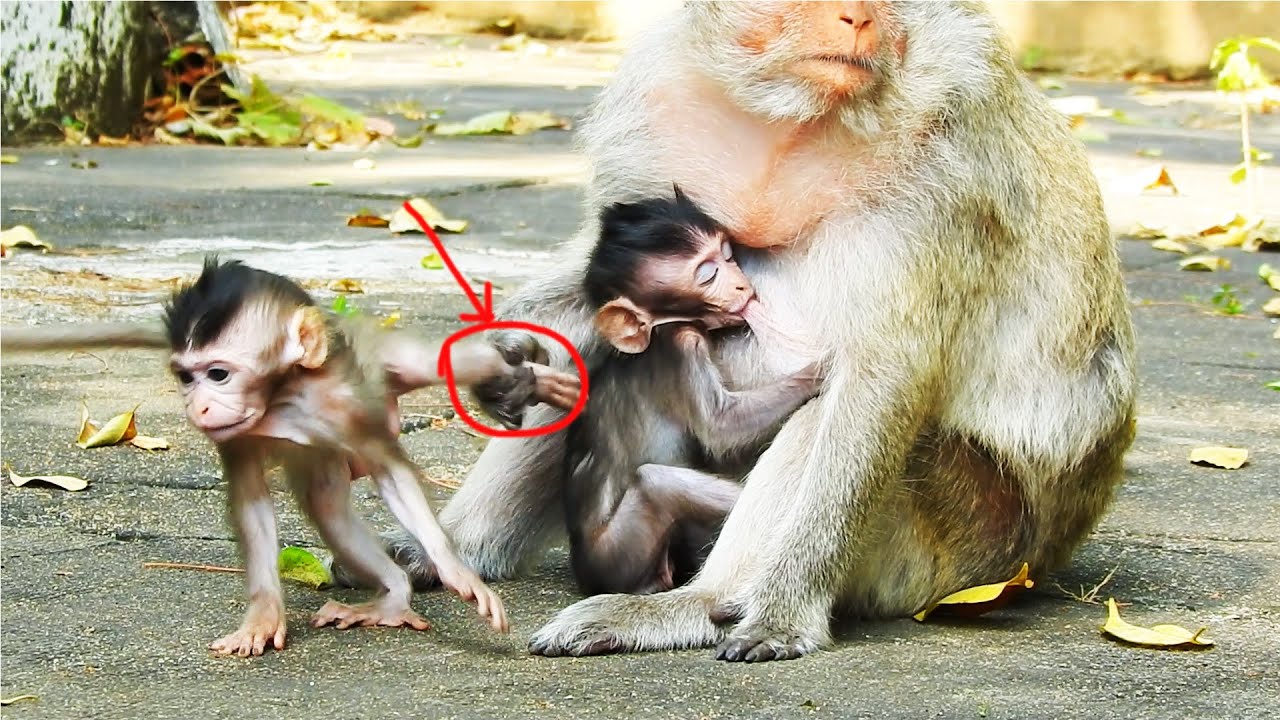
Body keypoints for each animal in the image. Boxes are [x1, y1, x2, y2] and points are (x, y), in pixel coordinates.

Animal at [2, 258, 582, 656]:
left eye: (219, 373)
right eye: (186, 377)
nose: (199, 405)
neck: (283, 397)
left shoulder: (345, 404)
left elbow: (392, 474)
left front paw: (457, 572)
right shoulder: (237, 435)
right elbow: (253, 505)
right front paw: (262, 617)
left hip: (378, 358)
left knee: (446, 361)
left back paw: (524, 370)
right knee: (329, 509)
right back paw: (392, 598)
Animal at [563, 188, 822, 596]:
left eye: (728, 255)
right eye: (708, 274)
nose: (741, 284)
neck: (660, 326)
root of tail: (583, 572)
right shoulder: (683, 344)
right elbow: (721, 427)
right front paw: (823, 368)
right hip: (615, 558)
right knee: (656, 483)